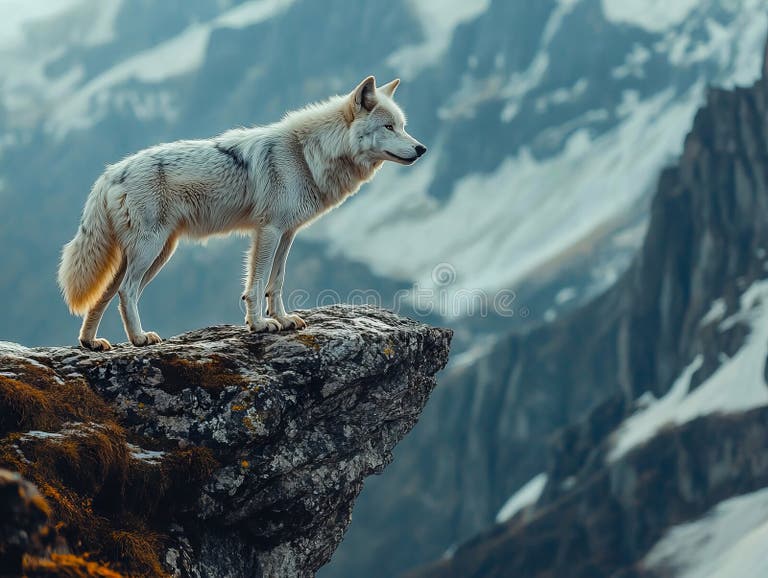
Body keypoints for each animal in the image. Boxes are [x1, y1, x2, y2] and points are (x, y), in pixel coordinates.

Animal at [57, 76, 426, 350]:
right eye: (389, 127)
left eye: (403, 126)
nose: (421, 148)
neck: (307, 154)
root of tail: (111, 173)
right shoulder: (268, 230)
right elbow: (257, 283)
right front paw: (260, 324)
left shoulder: (287, 233)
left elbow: (277, 282)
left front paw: (282, 319)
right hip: (151, 250)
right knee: (126, 292)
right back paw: (138, 338)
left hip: (154, 253)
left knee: (106, 294)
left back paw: (90, 342)